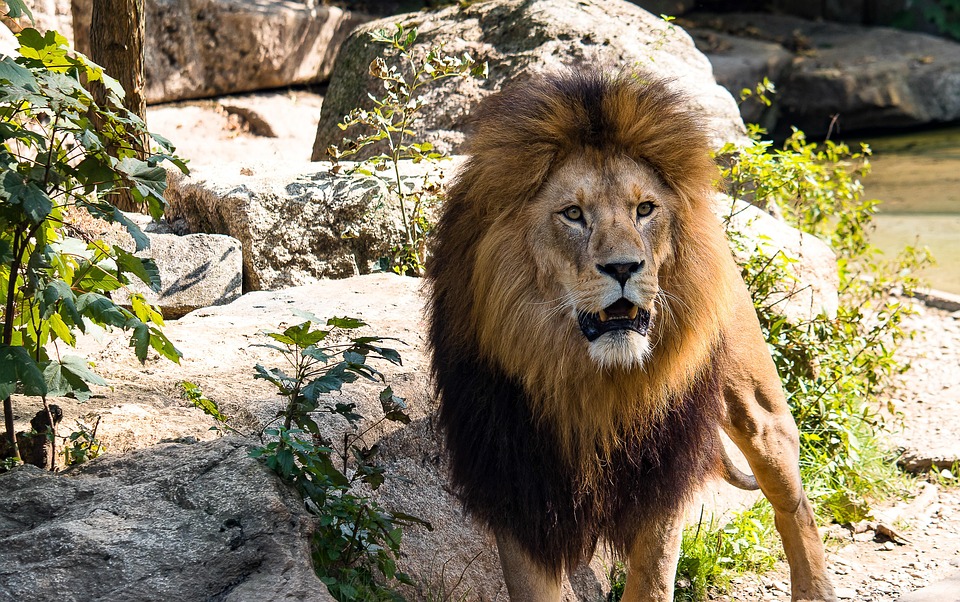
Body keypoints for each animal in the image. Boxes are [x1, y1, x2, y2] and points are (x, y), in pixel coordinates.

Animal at [426, 71, 836, 602]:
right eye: (572, 214)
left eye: (644, 209)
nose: (623, 267)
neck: (592, 383)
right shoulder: (517, 482)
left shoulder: (661, 472)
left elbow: (652, 579)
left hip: (760, 413)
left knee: (795, 502)